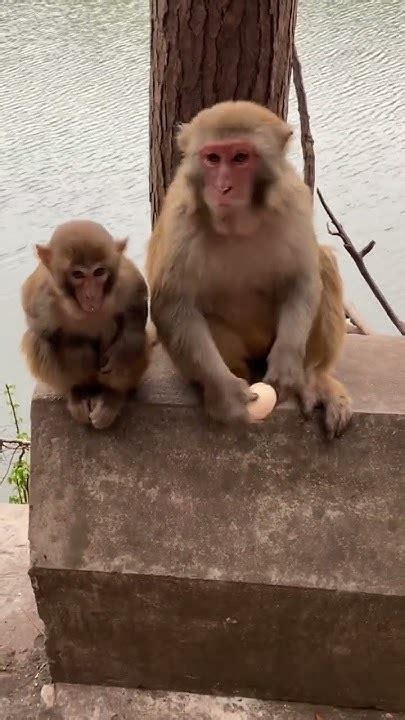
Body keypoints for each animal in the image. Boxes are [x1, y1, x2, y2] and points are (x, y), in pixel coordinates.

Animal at [21, 219, 149, 429]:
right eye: (78, 275)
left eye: (99, 272)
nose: (90, 295)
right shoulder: (41, 294)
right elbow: (37, 326)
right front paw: (77, 350)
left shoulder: (126, 281)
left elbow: (137, 309)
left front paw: (123, 349)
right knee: (39, 343)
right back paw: (78, 391)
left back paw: (113, 396)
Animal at [146, 100, 352, 438]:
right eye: (213, 158)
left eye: (240, 158)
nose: (223, 187)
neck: (239, 223)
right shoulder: (181, 215)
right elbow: (173, 303)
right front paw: (226, 392)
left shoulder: (293, 199)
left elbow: (303, 278)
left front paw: (287, 365)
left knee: (323, 264)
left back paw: (314, 379)